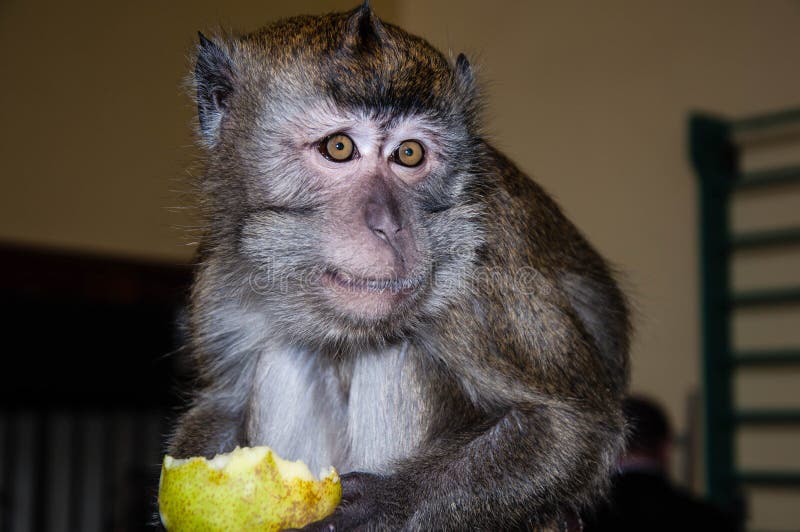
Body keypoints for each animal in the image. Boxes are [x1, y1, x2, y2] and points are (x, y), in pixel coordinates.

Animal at [168, 3, 630, 531]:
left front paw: (385, 503)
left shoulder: (488, 263)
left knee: (393, 353)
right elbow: (221, 403)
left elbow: (571, 425)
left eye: (409, 154)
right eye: (339, 147)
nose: (389, 226)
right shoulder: (221, 267)